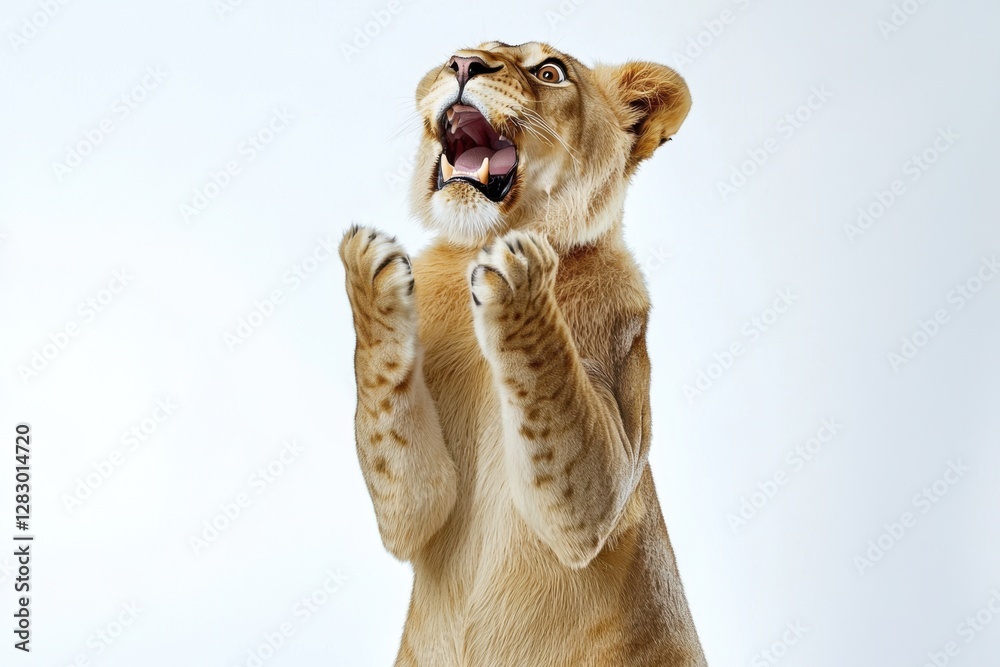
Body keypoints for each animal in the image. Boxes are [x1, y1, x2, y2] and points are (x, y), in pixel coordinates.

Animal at [339, 41, 706, 666]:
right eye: (456, 54)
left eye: (550, 72)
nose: (463, 65)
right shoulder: (414, 501)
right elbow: (397, 462)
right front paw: (365, 264)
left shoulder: (604, 488)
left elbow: (555, 395)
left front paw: (519, 270)